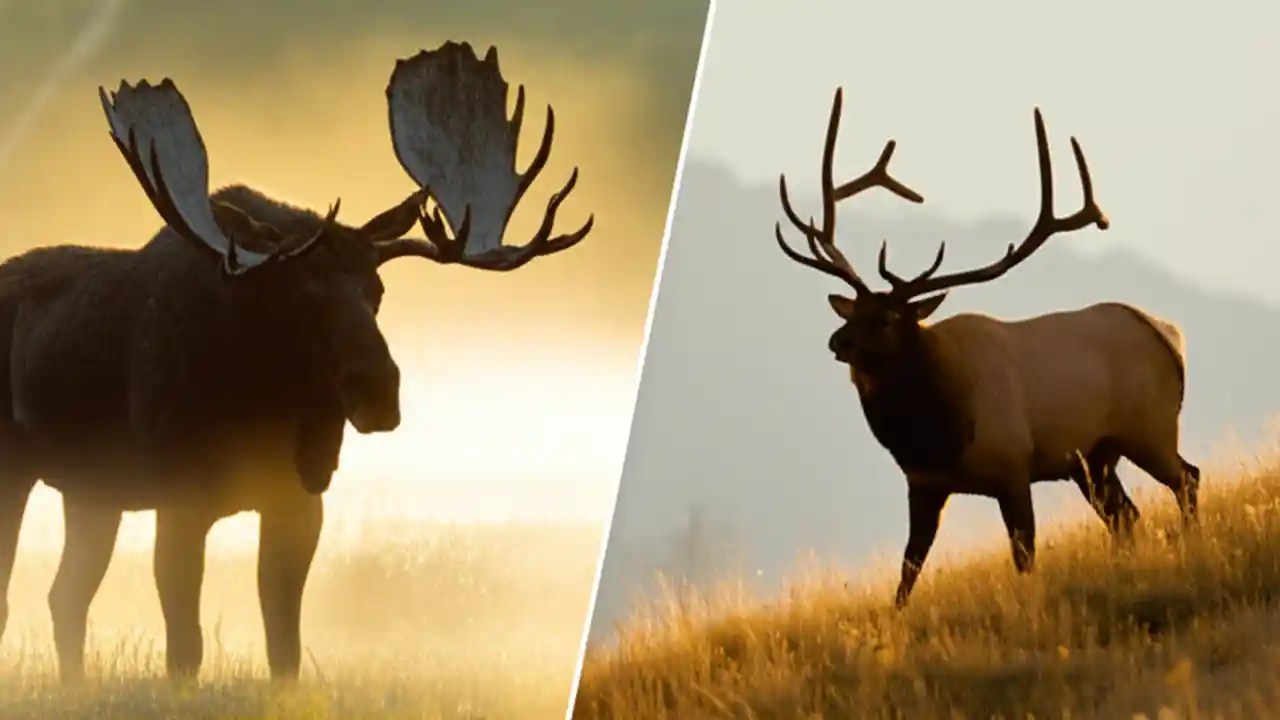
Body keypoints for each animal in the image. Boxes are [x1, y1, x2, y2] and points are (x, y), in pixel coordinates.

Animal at [0, 40, 593, 682]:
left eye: (376, 290)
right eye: (299, 297)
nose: (377, 391)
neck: (260, 401)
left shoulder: (303, 495)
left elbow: (283, 645)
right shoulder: (180, 493)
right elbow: (185, 647)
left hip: (91, 491)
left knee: (65, 596)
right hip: (19, 470)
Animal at [773, 88, 1200, 609]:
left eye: (890, 319)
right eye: (851, 313)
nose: (838, 342)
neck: (936, 431)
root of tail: (1170, 336)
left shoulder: (1013, 468)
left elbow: (1024, 556)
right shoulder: (923, 483)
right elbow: (907, 571)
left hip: (1149, 428)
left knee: (1187, 479)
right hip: (1095, 457)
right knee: (1127, 515)